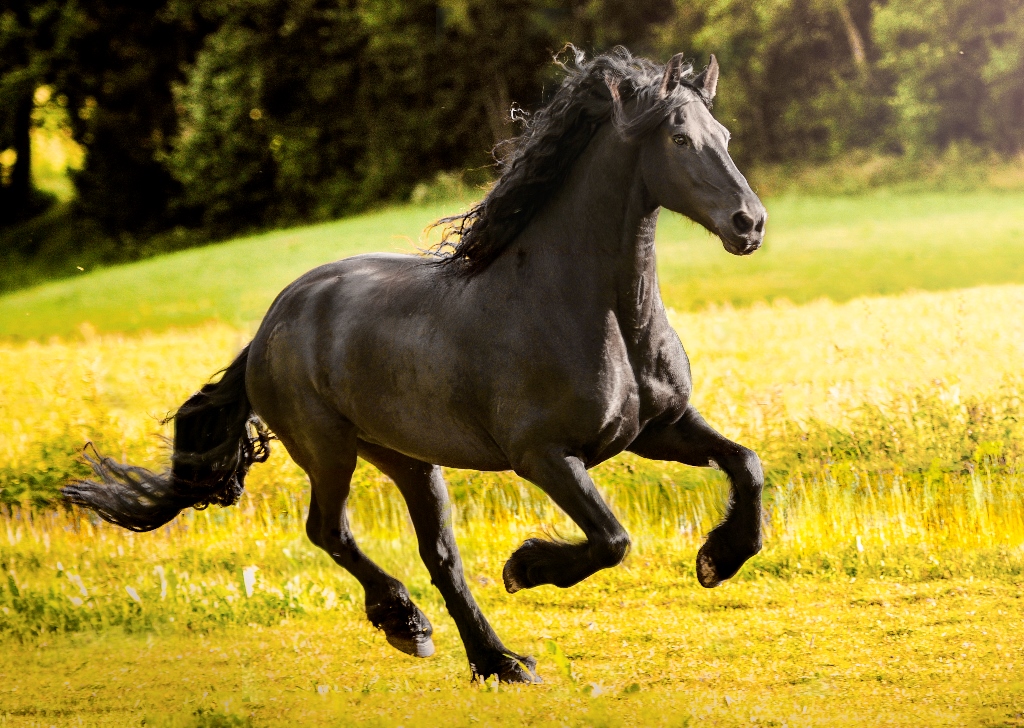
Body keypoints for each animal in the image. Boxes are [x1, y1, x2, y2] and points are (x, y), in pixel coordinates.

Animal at [65, 47, 767, 684]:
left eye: (726, 135)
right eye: (680, 138)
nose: (750, 223)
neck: (589, 309)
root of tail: (272, 324)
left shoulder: (656, 429)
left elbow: (746, 464)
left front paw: (718, 559)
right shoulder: (542, 455)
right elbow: (611, 538)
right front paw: (525, 567)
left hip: (407, 458)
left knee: (440, 556)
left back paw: (497, 662)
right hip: (329, 450)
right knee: (329, 531)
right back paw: (406, 623)